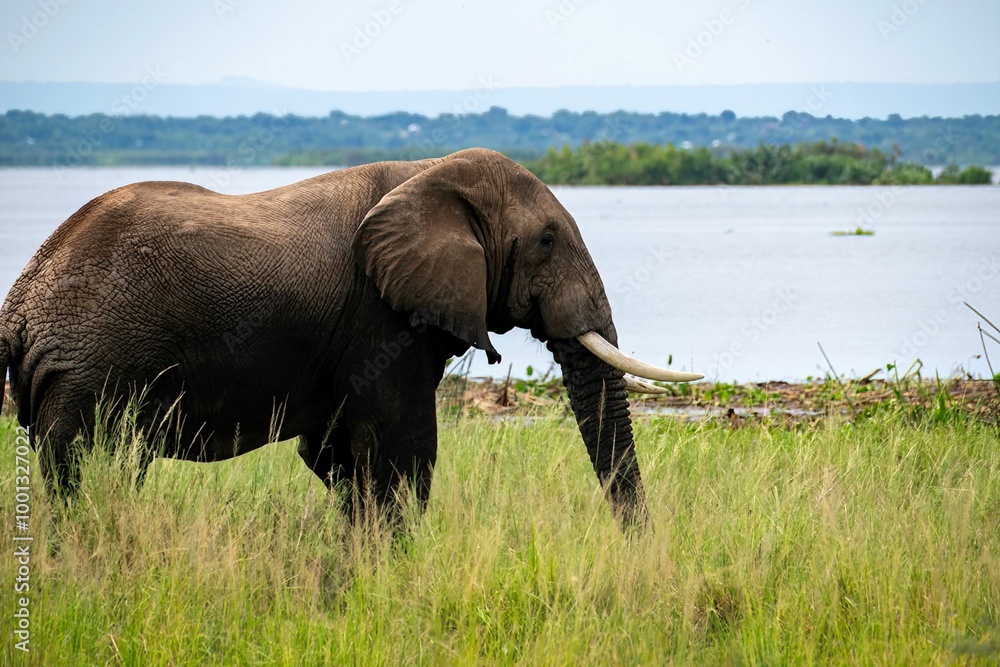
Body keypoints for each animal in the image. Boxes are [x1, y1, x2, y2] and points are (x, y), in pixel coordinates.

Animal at [0, 148, 700, 529]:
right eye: (547, 242)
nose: (638, 549)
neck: (429, 173)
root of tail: (21, 302)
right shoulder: (379, 322)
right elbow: (403, 451)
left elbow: (337, 457)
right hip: (88, 373)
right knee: (87, 472)